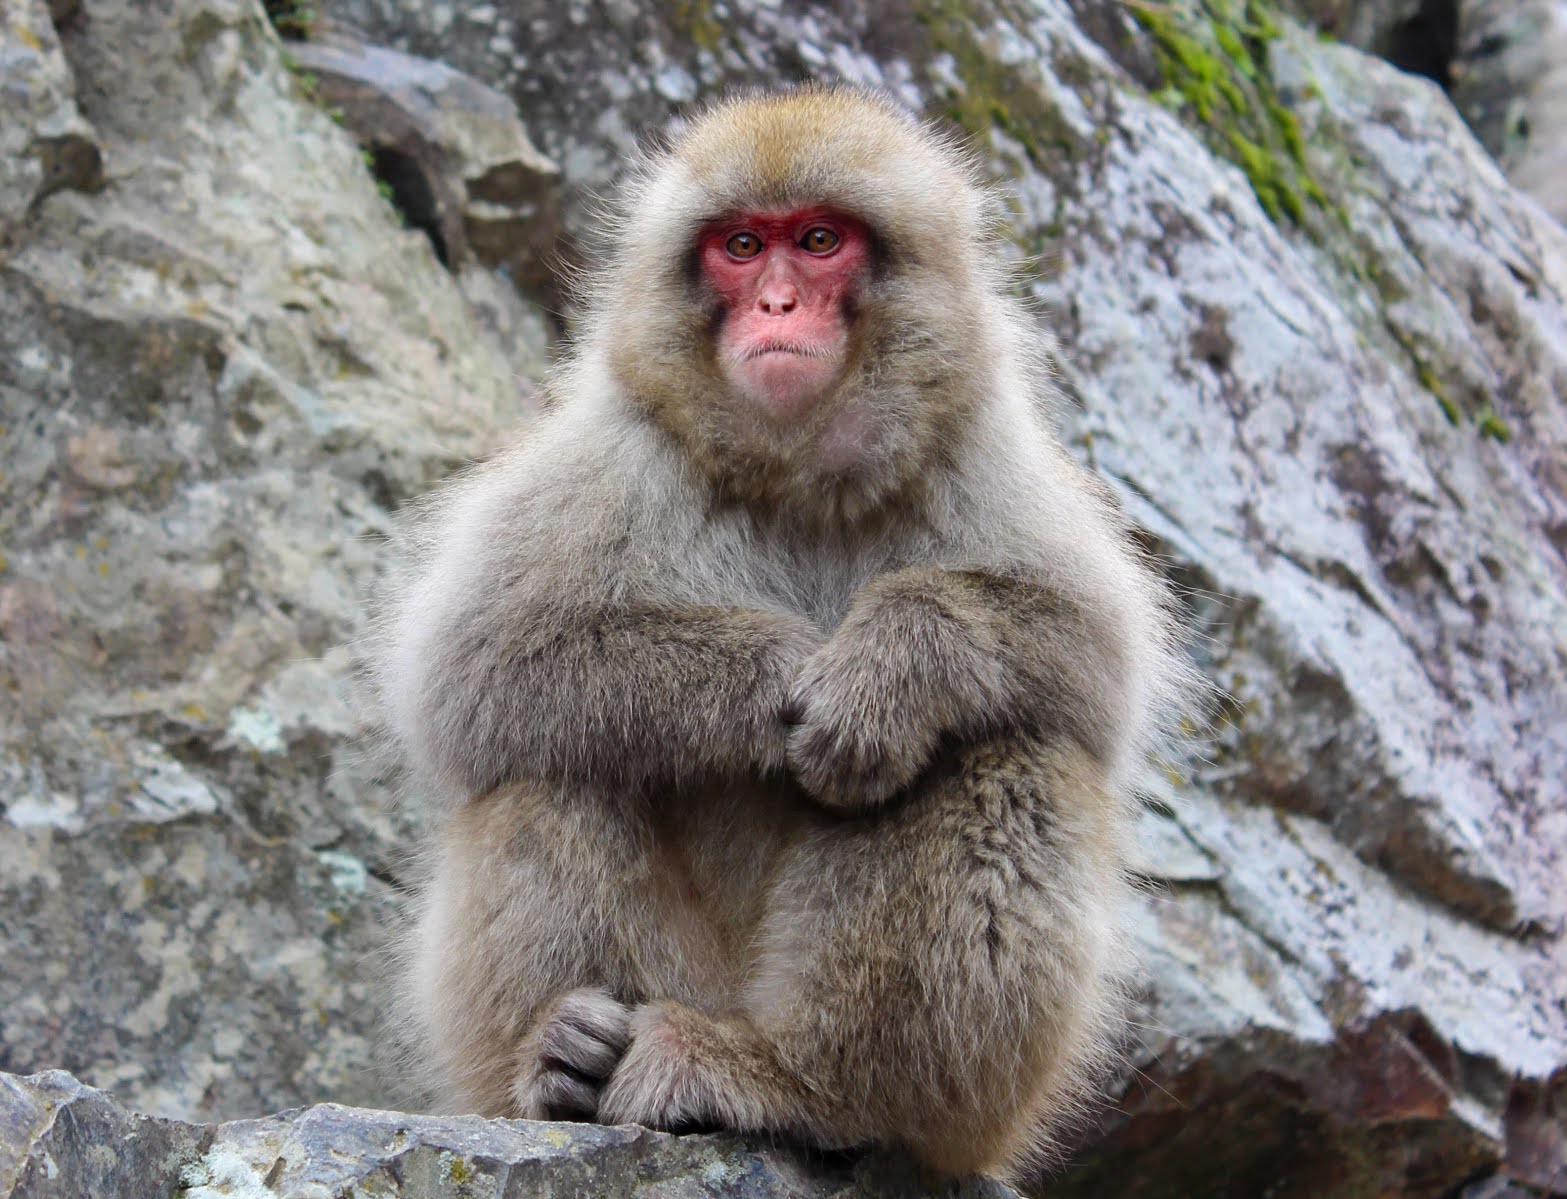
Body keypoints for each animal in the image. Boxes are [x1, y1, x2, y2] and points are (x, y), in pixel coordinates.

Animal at [371, 86, 1190, 1182]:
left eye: (818, 241)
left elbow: (1095, 663)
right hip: (669, 974)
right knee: (543, 767)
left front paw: (889, 669)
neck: (797, 474)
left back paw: (799, 1083)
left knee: (1010, 753)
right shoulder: (614, 449)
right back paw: (562, 1069)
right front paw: (776, 673)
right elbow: (471, 668)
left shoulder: (982, 444)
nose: (774, 306)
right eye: (741, 246)